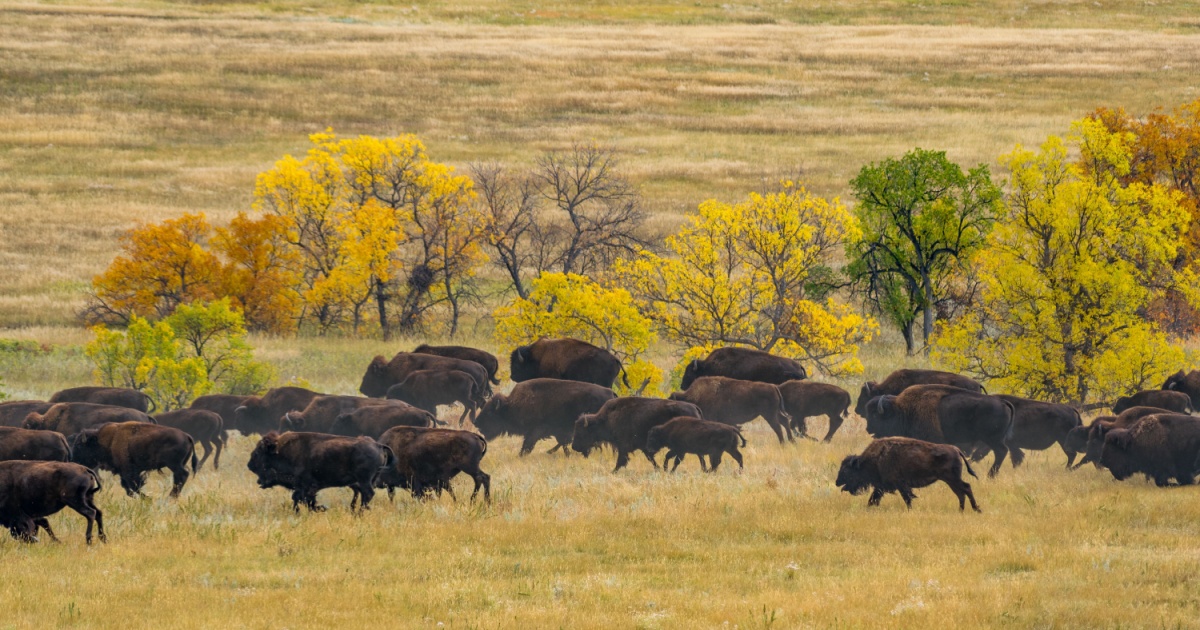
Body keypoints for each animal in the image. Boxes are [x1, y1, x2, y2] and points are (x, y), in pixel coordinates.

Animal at [247, 431, 393, 512]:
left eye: (259, 452)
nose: (249, 465)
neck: (281, 451)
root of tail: (378, 445)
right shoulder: (306, 488)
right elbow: (303, 500)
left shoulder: (305, 486)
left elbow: (302, 499)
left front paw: (321, 509)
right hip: (366, 480)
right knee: (363, 494)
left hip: (364, 480)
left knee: (367, 494)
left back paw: (359, 513)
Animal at [473, 378, 616, 456]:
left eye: (490, 413)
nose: (476, 423)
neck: (512, 404)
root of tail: (611, 393)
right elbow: (563, 442)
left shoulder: (535, 431)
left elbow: (528, 445)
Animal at [570, 397, 703, 472]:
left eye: (581, 432)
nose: (574, 446)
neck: (606, 418)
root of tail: (694, 407)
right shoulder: (643, 447)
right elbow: (650, 458)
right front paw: (659, 468)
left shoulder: (623, 446)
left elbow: (621, 460)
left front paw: (613, 471)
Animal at [836, 437, 980, 512]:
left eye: (846, 470)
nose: (837, 482)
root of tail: (956, 450)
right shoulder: (882, 487)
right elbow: (874, 498)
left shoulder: (899, 485)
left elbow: (907, 498)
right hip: (950, 480)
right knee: (961, 493)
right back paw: (962, 510)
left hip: (952, 479)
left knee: (966, 488)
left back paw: (976, 509)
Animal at [863, 385, 1013, 476]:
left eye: (875, 415)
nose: (868, 429)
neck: (904, 410)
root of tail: (1003, 403)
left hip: (993, 439)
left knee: (1001, 451)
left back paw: (991, 475)